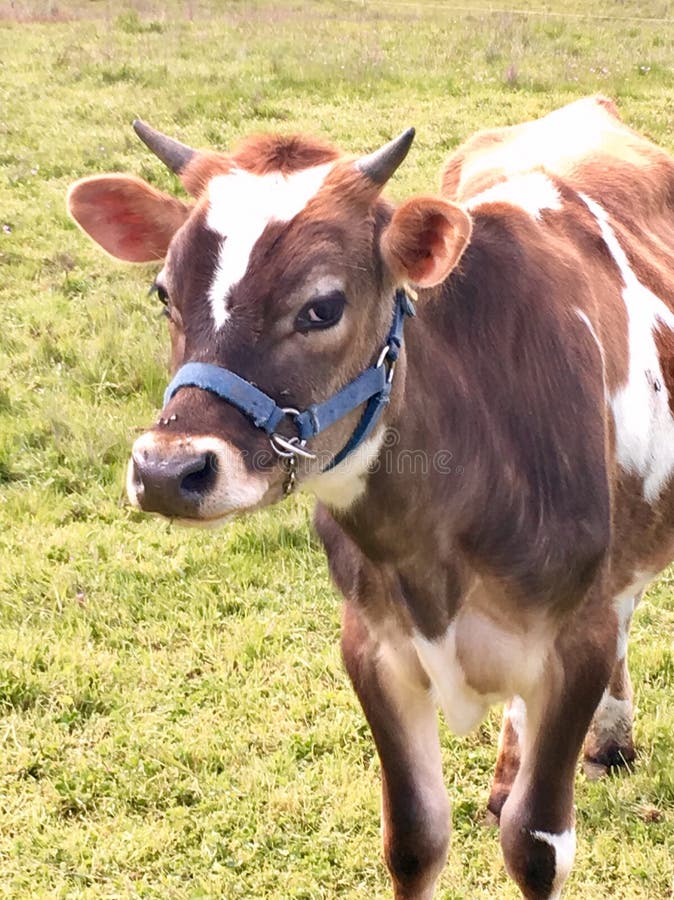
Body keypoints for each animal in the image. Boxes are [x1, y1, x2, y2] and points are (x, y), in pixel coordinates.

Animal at [67, 95, 674, 899]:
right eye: (164, 292)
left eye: (323, 307)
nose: (168, 470)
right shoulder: (372, 646)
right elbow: (413, 839)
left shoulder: (579, 640)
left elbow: (537, 844)